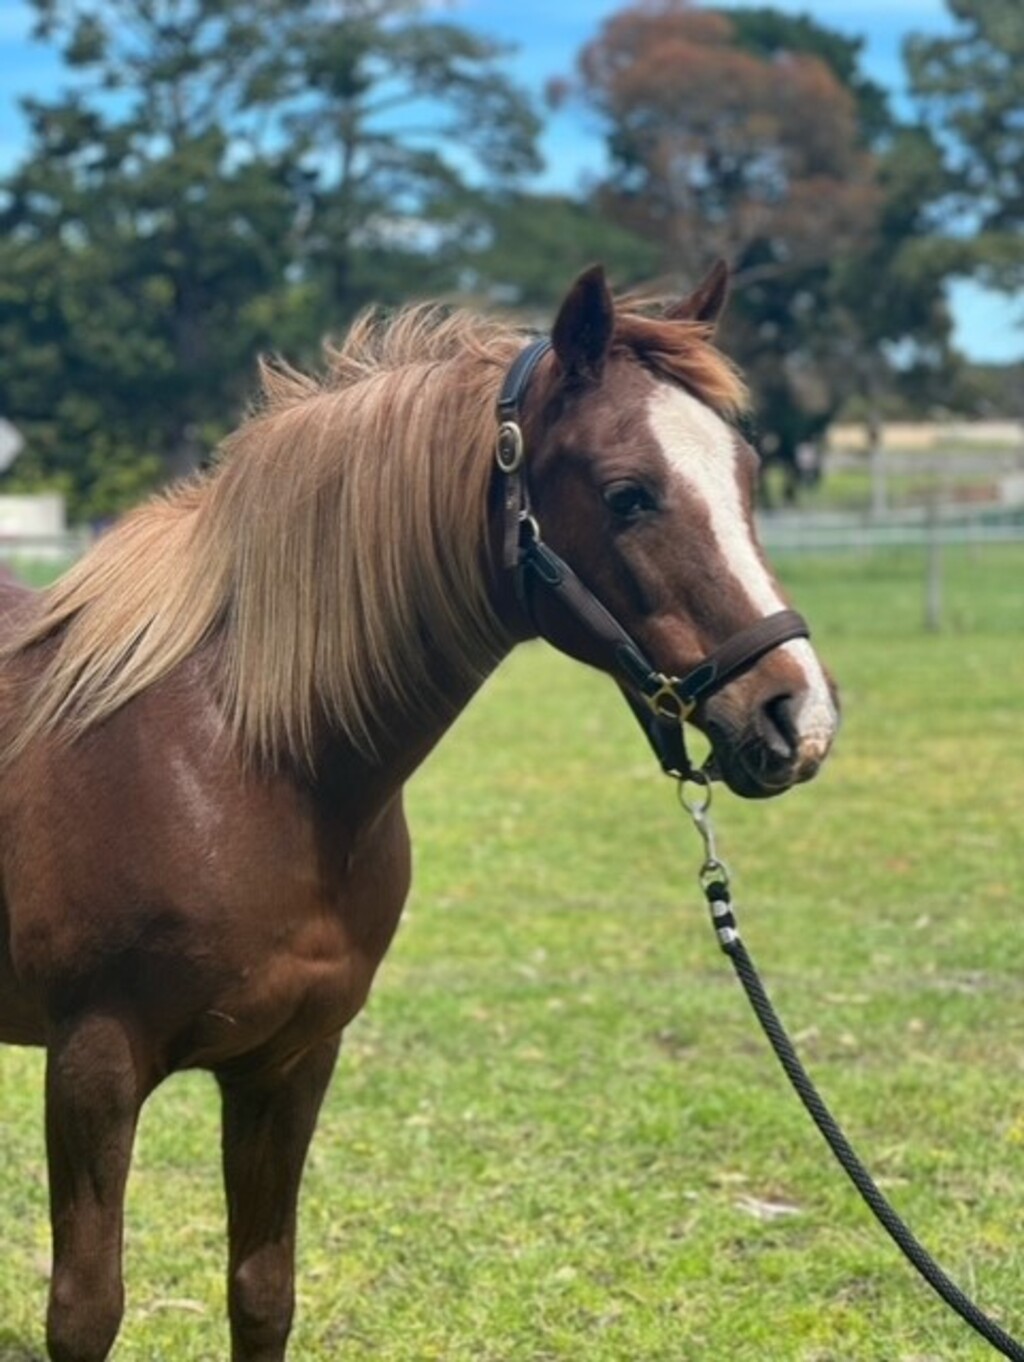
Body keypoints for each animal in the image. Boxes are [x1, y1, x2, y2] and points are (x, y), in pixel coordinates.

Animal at [0, 262, 838, 1361]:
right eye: (628, 494)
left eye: (745, 476)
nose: (798, 716)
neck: (238, 757)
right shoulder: (92, 1066)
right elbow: (85, 1311)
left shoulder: (290, 1065)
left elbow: (261, 1292)